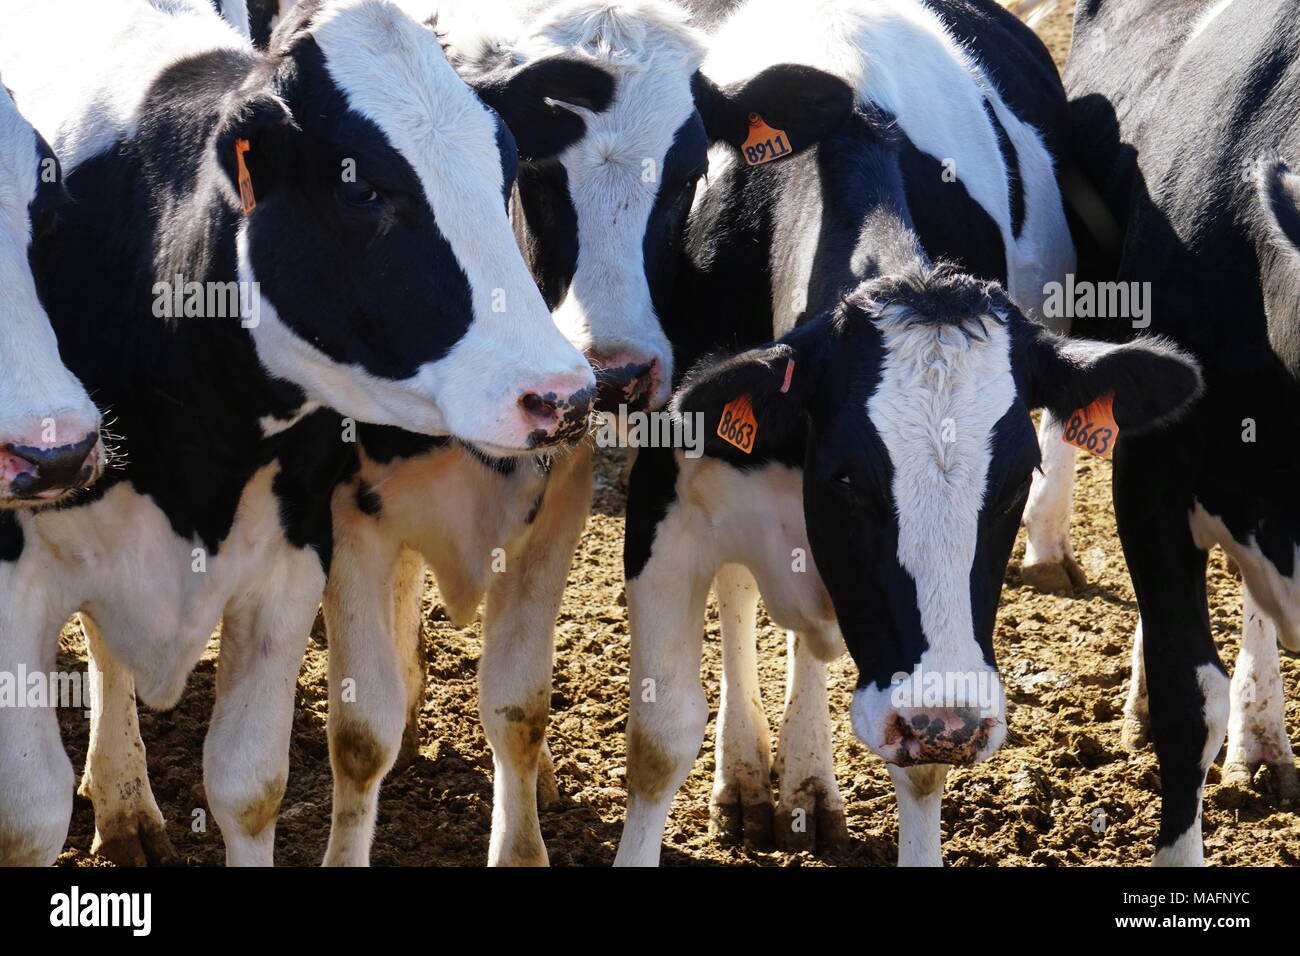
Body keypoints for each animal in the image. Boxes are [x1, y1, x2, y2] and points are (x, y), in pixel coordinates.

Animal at [0, 0, 595, 866]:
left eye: (506, 170)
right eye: (364, 190)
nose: (563, 395)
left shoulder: (293, 558)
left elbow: (249, 787)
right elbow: (29, 816)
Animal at [612, 0, 1204, 866]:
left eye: (1014, 478)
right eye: (845, 476)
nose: (945, 721)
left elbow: (917, 772)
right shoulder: (666, 493)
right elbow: (660, 740)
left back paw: (806, 784)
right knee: (742, 599)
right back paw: (748, 775)